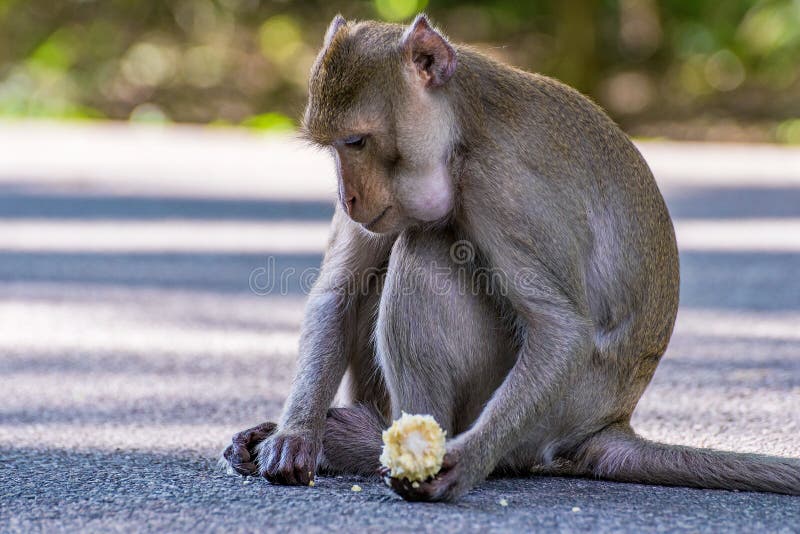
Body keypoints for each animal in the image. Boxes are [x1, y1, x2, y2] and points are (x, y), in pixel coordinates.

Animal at [221, 14, 800, 501]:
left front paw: (461, 463)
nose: (348, 199)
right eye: (333, 148)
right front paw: (297, 434)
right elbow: (337, 293)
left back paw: (377, 442)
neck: (461, 134)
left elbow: (560, 328)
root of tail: (606, 423)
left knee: (424, 252)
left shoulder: (501, 188)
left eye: (356, 141)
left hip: (545, 418)